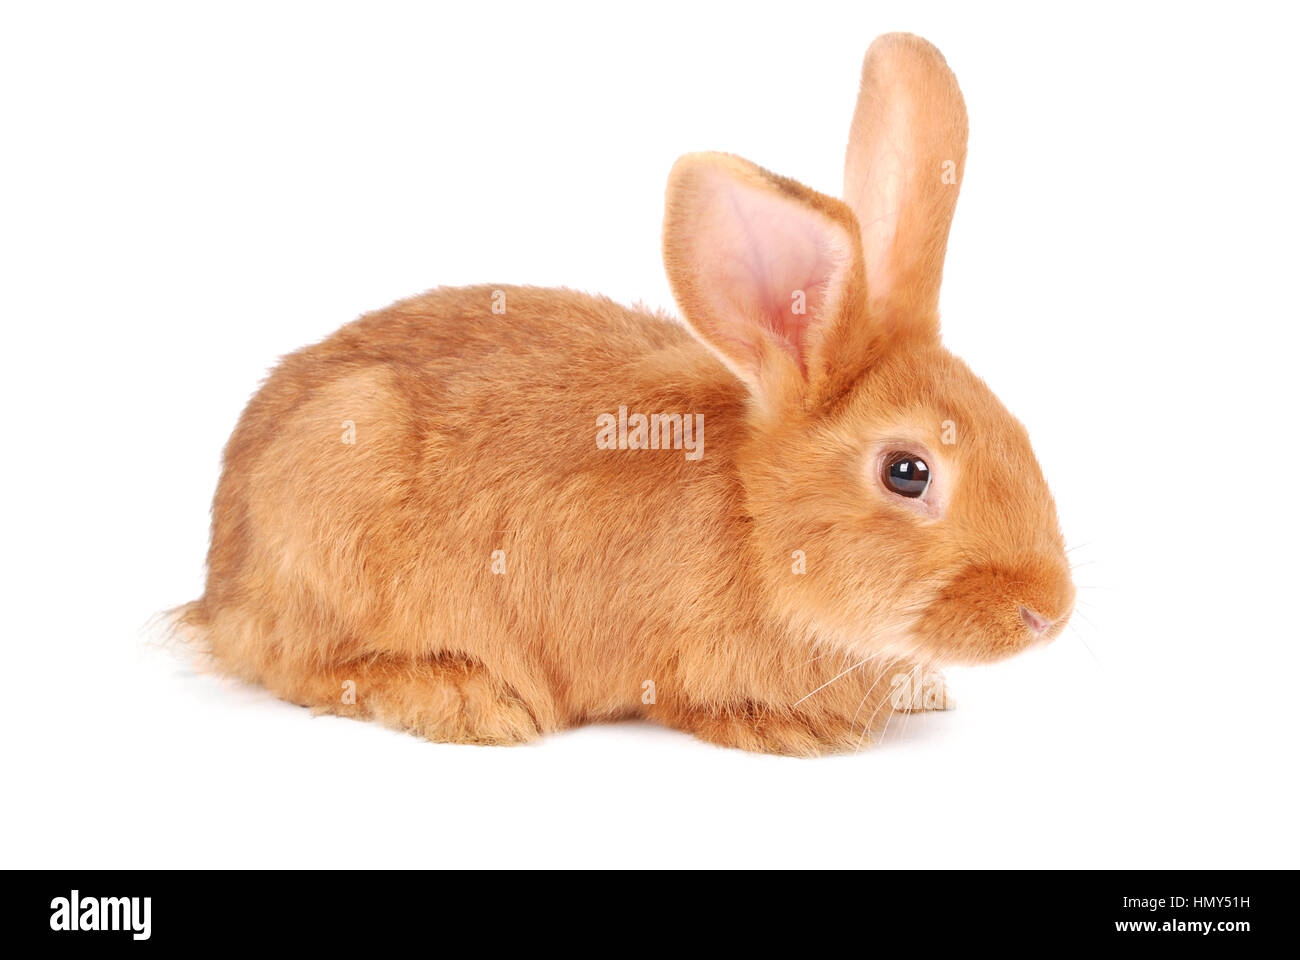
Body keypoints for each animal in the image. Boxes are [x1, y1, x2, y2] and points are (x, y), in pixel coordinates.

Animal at [178, 33, 1074, 756]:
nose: (1050, 612)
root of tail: (221, 588)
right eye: (907, 473)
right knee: (305, 665)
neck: (755, 521)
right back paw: (466, 697)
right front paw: (793, 729)